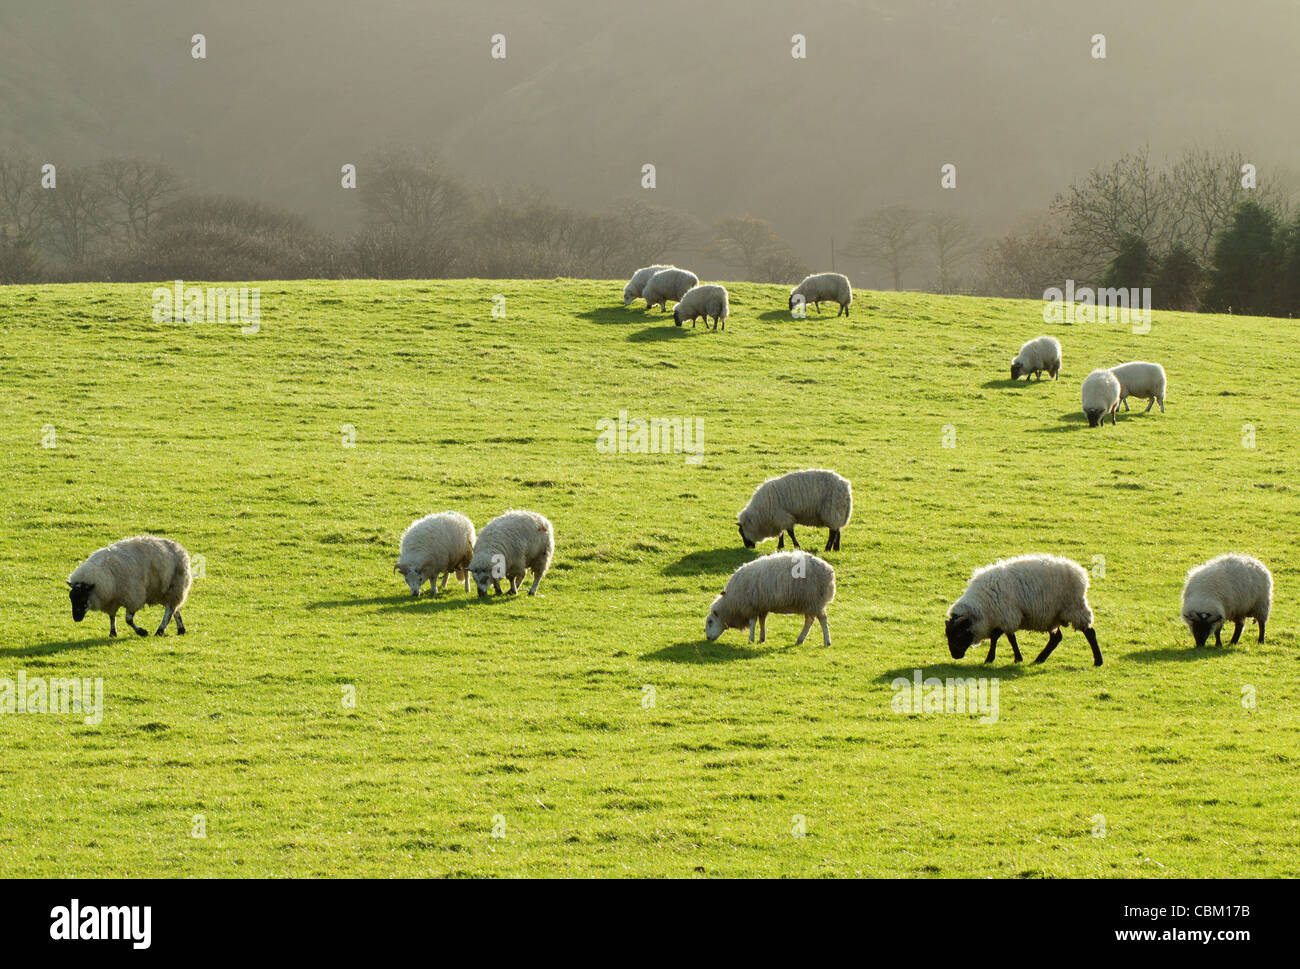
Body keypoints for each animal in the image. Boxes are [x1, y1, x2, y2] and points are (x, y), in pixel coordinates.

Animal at [705, 551, 836, 647]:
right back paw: (800, 640)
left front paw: (750, 640)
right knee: (809, 620)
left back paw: (827, 642)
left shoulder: (750, 606)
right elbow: (762, 621)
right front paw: (761, 639)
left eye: (710, 622)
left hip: (814, 600)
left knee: (822, 620)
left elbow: (752, 623)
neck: (730, 603)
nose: (708, 638)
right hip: (811, 602)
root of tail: (829, 572)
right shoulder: (761, 606)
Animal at [945, 554, 1102, 666]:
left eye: (958, 634)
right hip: (1052, 615)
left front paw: (992, 659)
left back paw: (1098, 661)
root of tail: (1080, 573)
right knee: (1057, 637)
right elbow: (1008, 637)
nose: (955, 656)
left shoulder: (1007, 615)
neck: (982, 608)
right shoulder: (1006, 617)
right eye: (948, 635)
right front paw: (1015, 658)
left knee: (1090, 632)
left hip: (1074, 608)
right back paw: (1039, 659)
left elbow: (1000, 637)